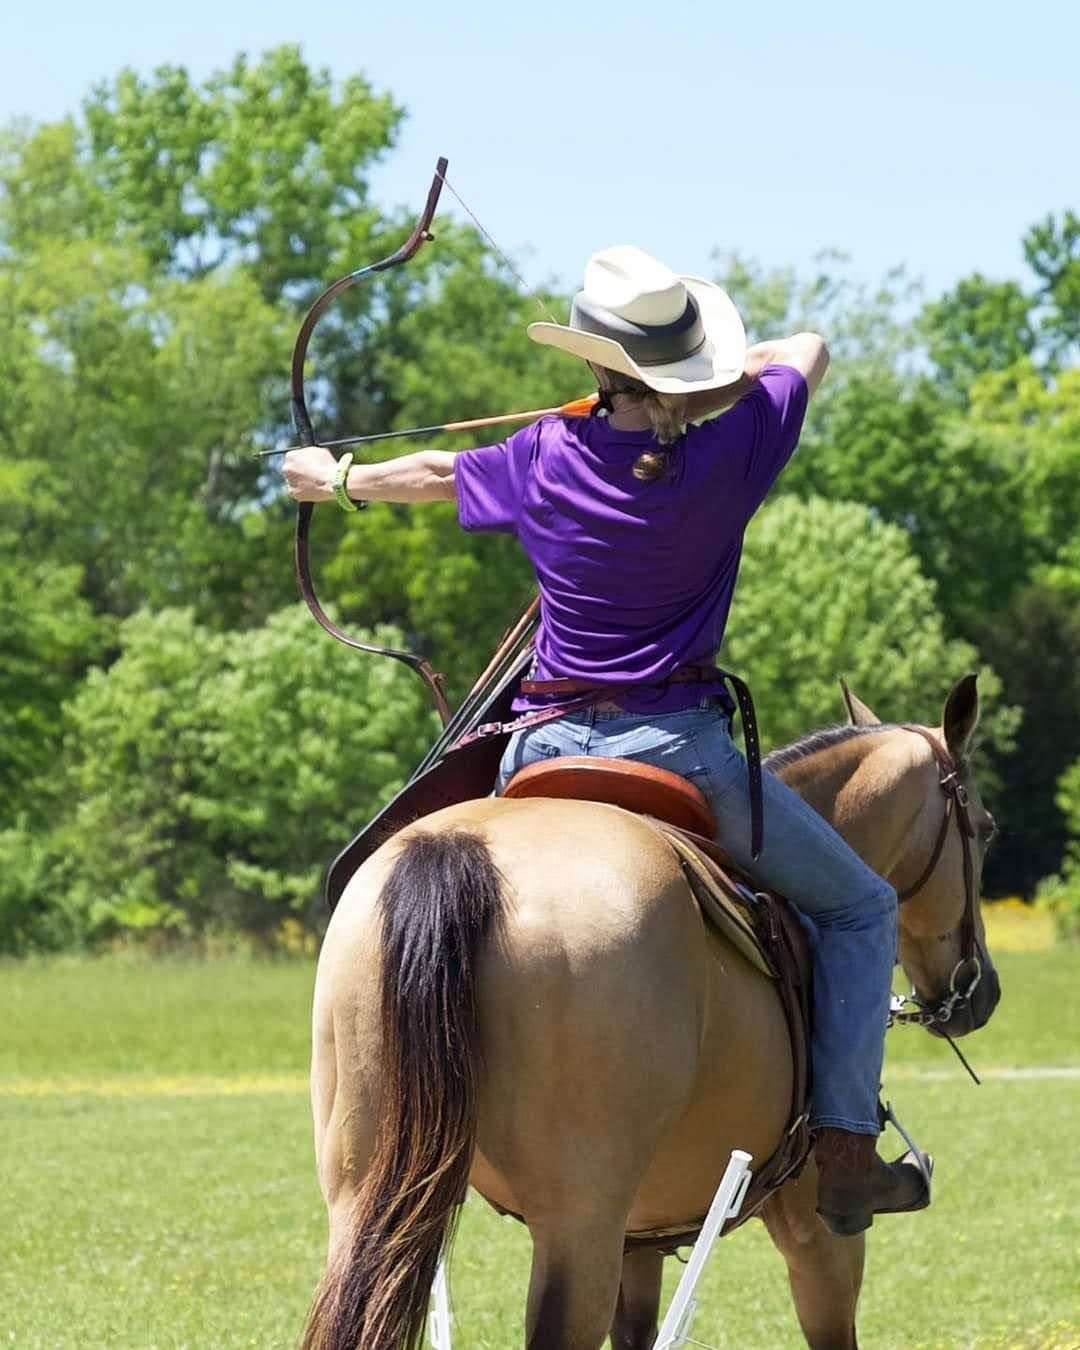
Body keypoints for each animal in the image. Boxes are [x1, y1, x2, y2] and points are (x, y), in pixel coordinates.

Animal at [301, 673, 1001, 1350]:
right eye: (986, 827)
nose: (980, 990)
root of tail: (460, 850)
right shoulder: (816, 1231)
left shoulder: (639, 1237)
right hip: (579, 1221)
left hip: (364, 1199)